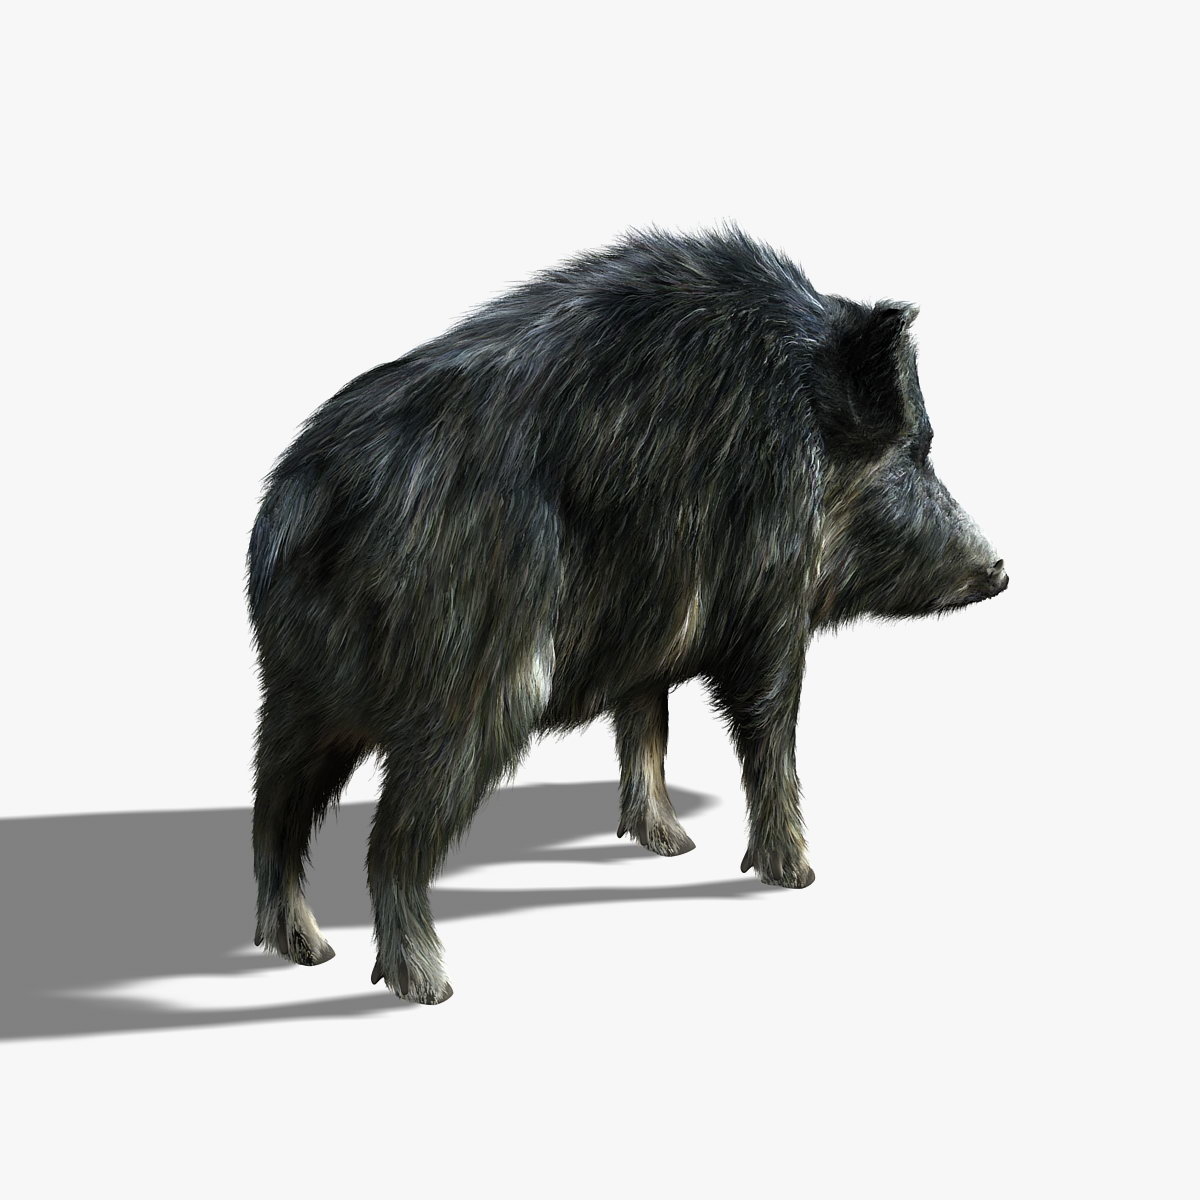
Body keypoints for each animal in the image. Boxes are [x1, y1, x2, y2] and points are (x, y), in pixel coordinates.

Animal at [248, 225, 1008, 1004]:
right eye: (915, 449)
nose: (1001, 569)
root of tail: (304, 507)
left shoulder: (646, 642)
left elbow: (647, 726)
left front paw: (671, 844)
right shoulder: (770, 610)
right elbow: (769, 731)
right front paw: (797, 875)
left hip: (296, 697)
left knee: (274, 809)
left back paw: (306, 949)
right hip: (473, 695)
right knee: (387, 839)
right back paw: (428, 986)